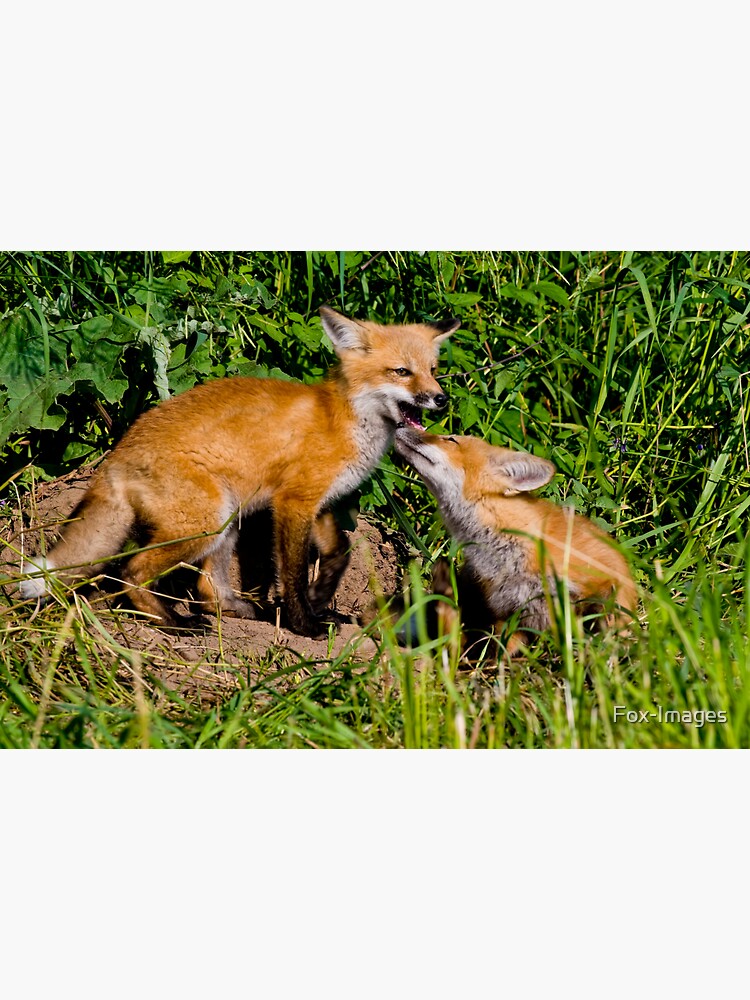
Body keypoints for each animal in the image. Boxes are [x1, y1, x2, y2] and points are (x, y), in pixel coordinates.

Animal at [19, 306, 460, 637]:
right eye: (401, 372)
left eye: (434, 369)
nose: (441, 398)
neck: (344, 421)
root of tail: (117, 454)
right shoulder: (292, 502)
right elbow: (292, 572)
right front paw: (303, 624)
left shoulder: (317, 502)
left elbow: (340, 552)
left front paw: (321, 601)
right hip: (205, 523)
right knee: (131, 572)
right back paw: (173, 624)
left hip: (226, 521)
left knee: (206, 589)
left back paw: (244, 612)